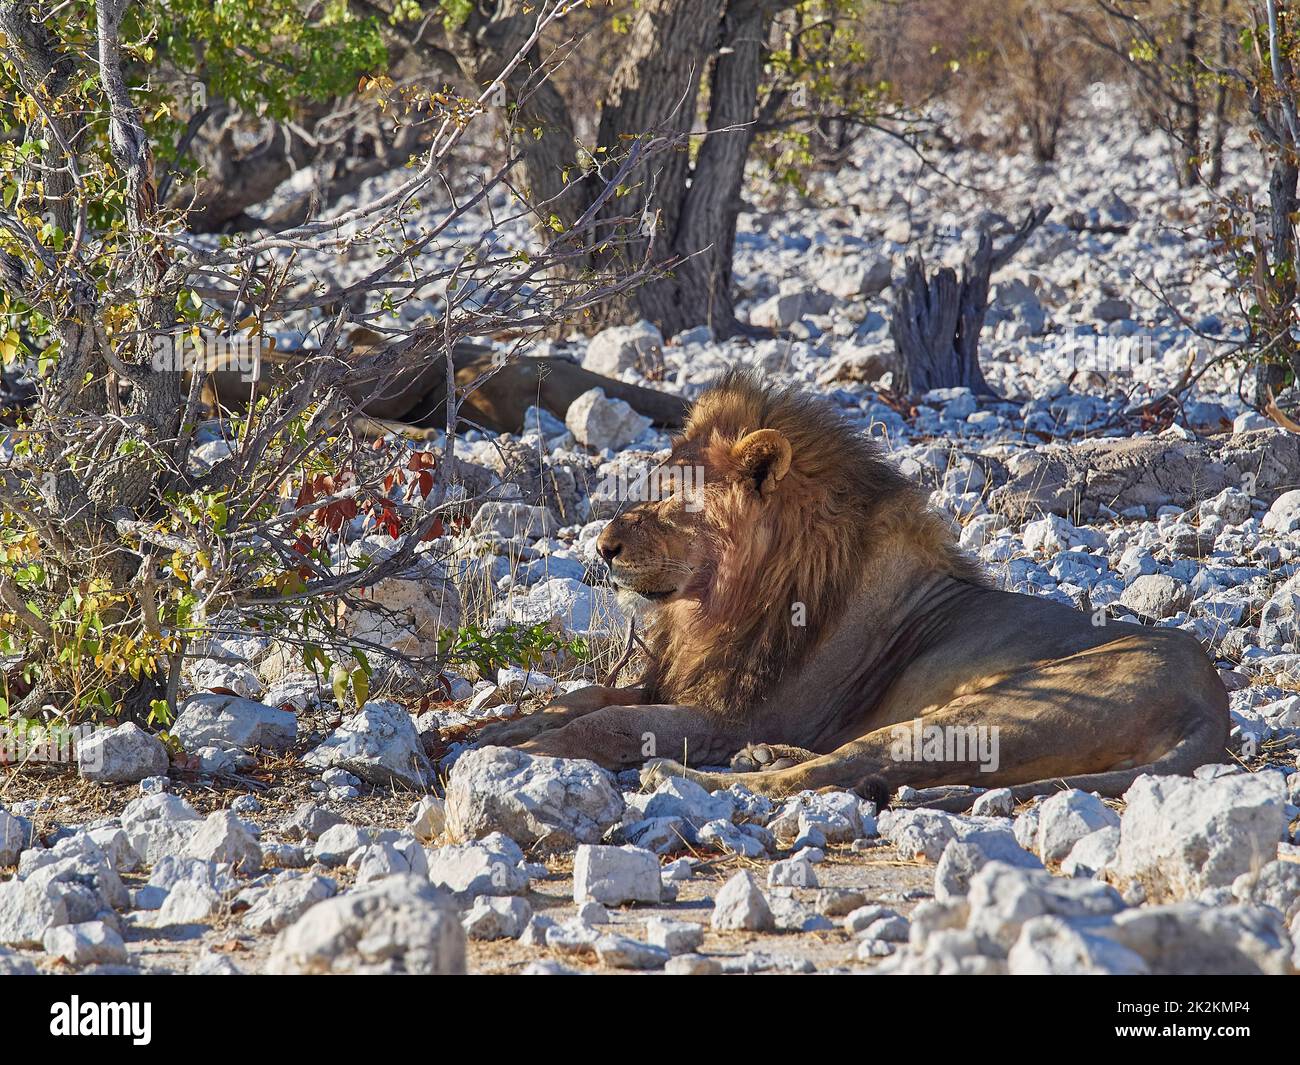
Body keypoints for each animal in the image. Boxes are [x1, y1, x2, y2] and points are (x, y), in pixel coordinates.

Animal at [476, 370, 1230, 803]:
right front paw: (490, 727)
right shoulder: (682, 680)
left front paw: (523, 755)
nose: (603, 546)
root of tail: (1212, 704)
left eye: (678, 503)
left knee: (819, 776)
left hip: (989, 712)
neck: (715, 606)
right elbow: (582, 697)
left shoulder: (734, 714)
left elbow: (608, 720)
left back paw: (685, 778)